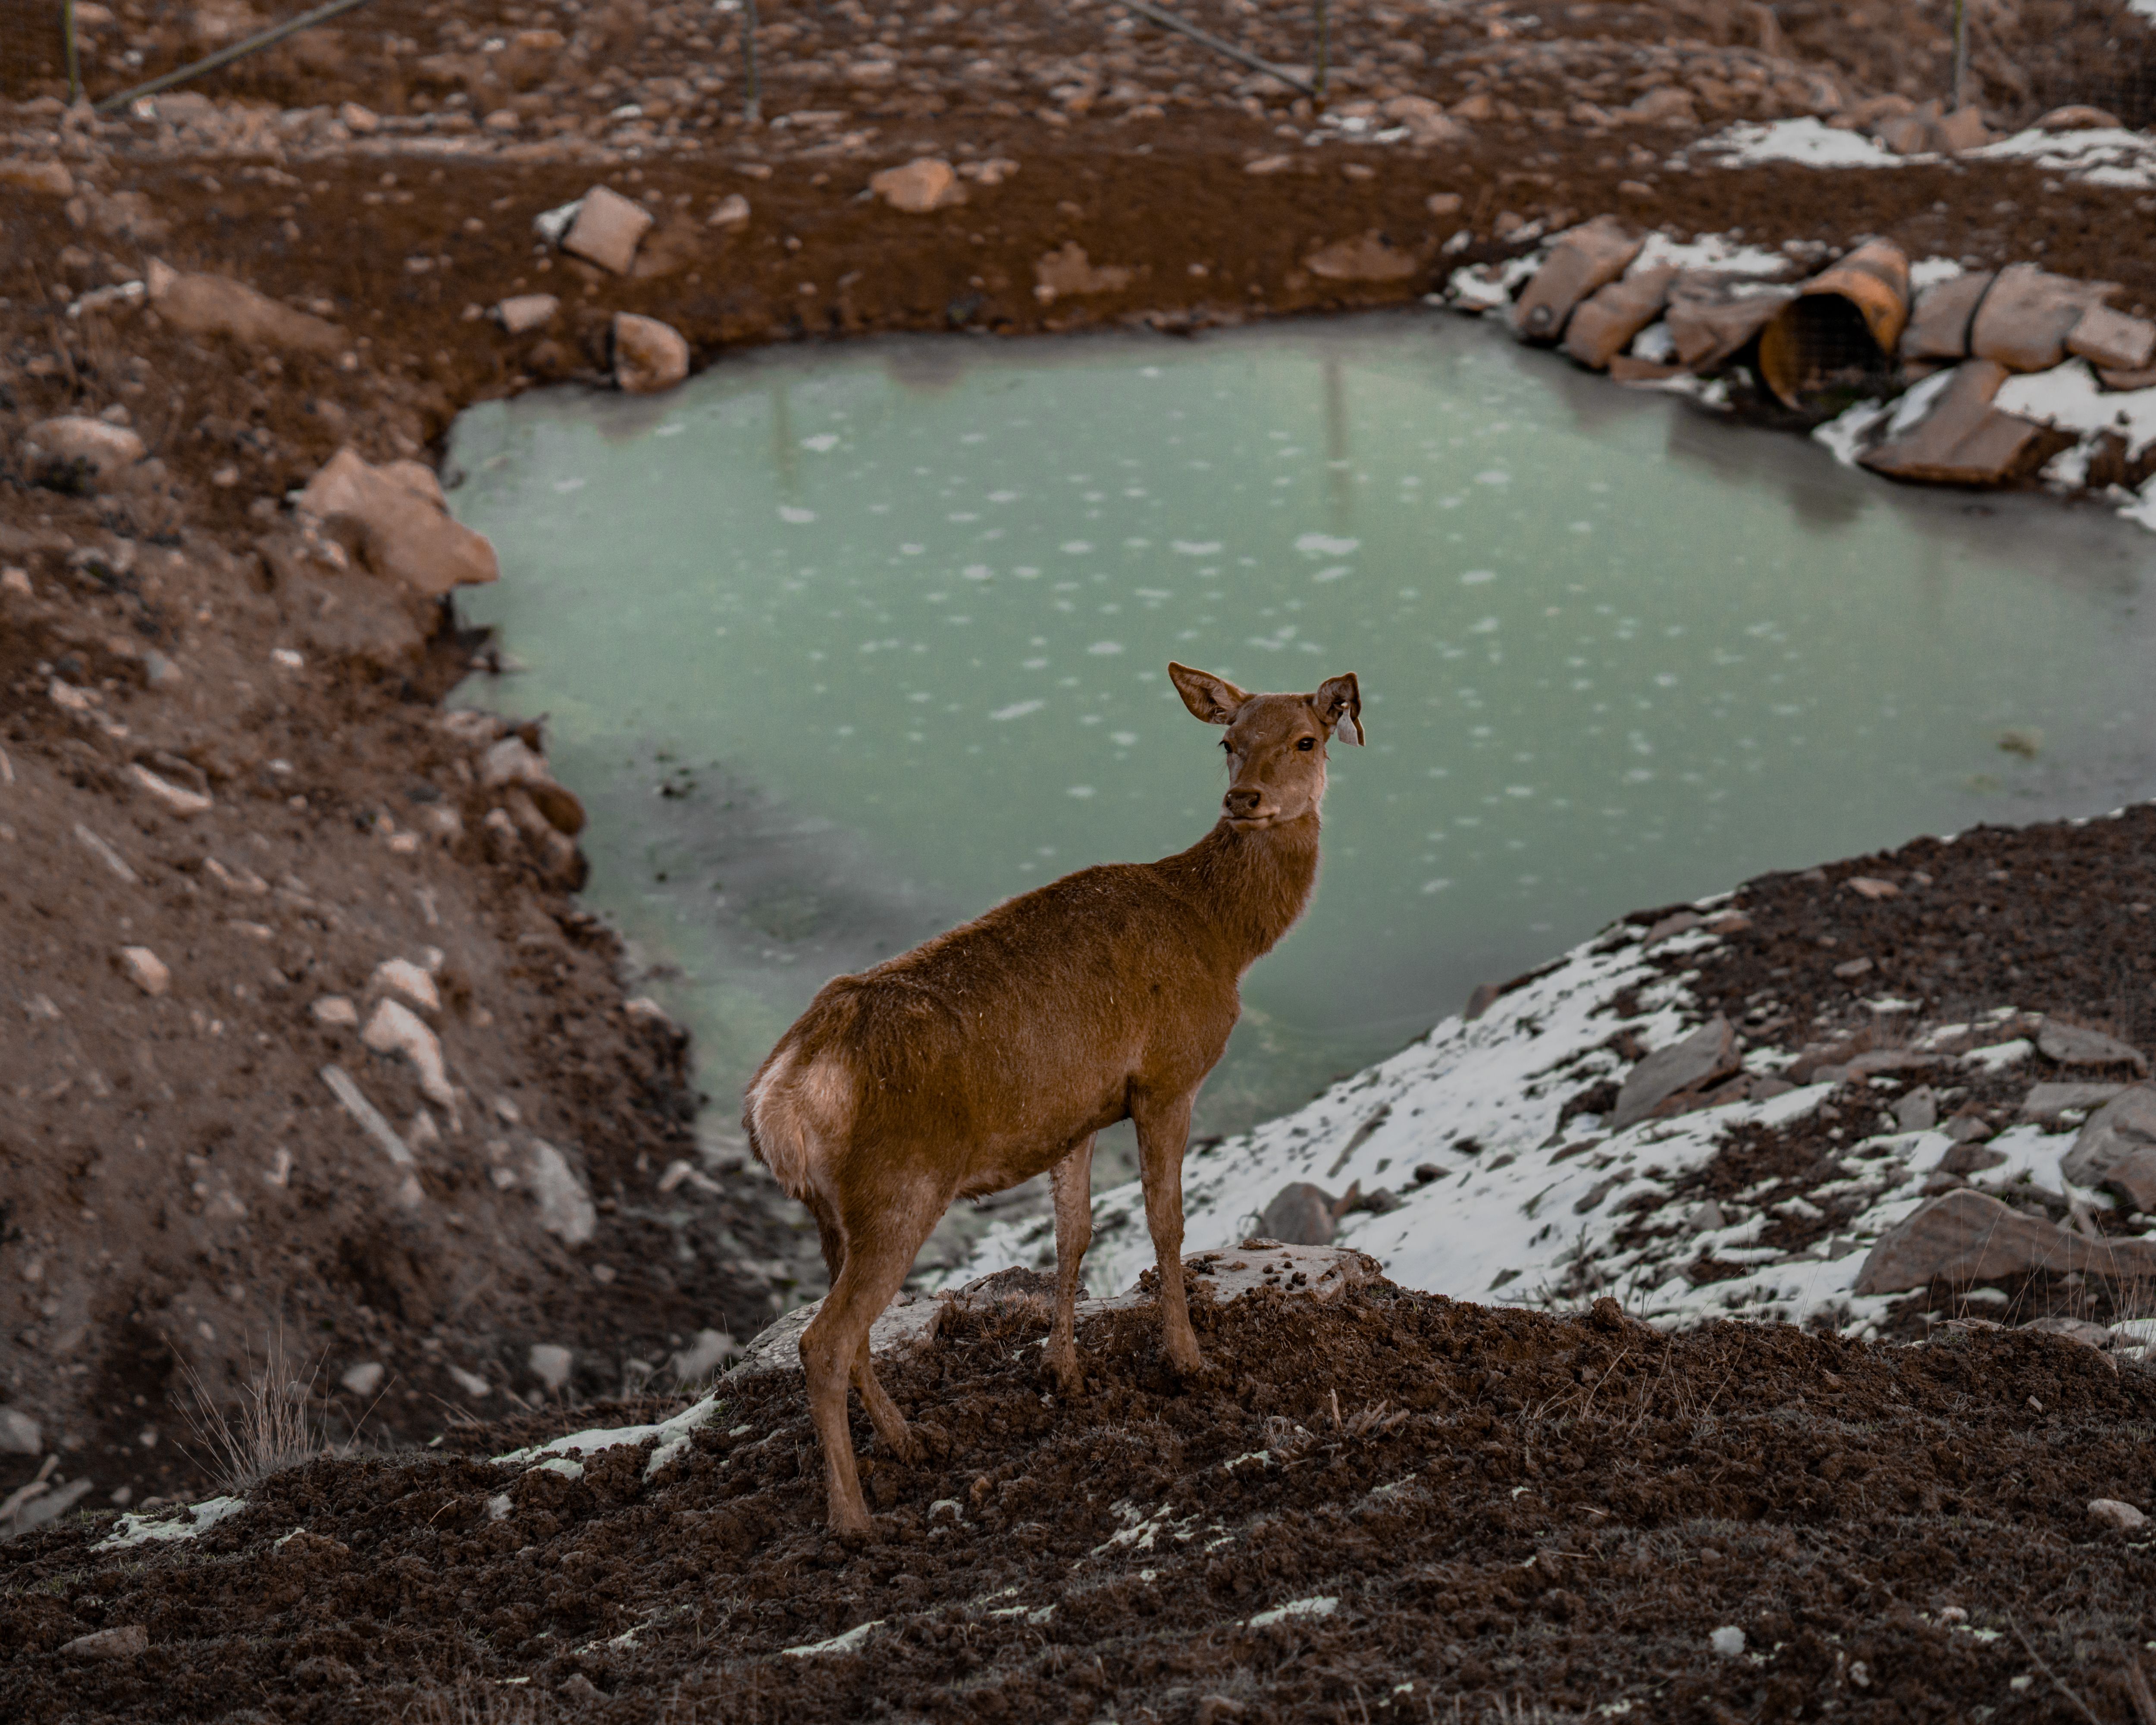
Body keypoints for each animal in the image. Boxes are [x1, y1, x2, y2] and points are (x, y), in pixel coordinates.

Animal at [743, 661, 1363, 1536]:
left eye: (1306, 739)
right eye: (1229, 741)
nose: (1245, 799)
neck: (1223, 937)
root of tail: (778, 1103)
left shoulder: (1077, 1114)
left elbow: (1074, 1236)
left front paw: (1062, 1372)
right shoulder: (1170, 1074)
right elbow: (1165, 1223)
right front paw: (1188, 1360)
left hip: (830, 1210)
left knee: (849, 1333)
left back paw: (913, 1441)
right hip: (901, 1185)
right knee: (824, 1341)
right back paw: (854, 1519)